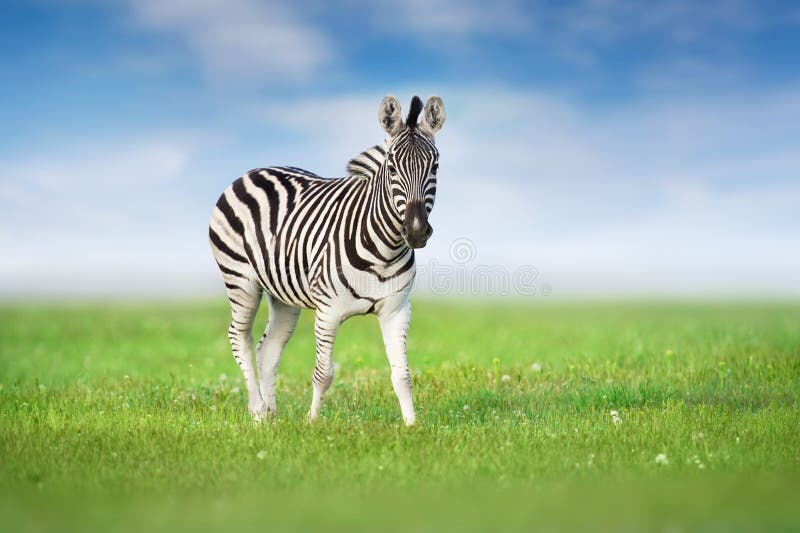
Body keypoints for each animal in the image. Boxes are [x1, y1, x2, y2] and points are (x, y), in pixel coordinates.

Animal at [209, 95, 445, 425]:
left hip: (283, 294)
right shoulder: (328, 311)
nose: (416, 231)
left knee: (268, 349)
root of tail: (253, 171)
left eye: (434, 166)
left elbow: (402, 375)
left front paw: (412, 425)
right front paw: (312, 422)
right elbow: (323, 374)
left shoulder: (397, 309)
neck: (384, 251)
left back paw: (272, 417)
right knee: (239, 336)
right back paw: (257, 411)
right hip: (240, 279)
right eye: (392, 167)